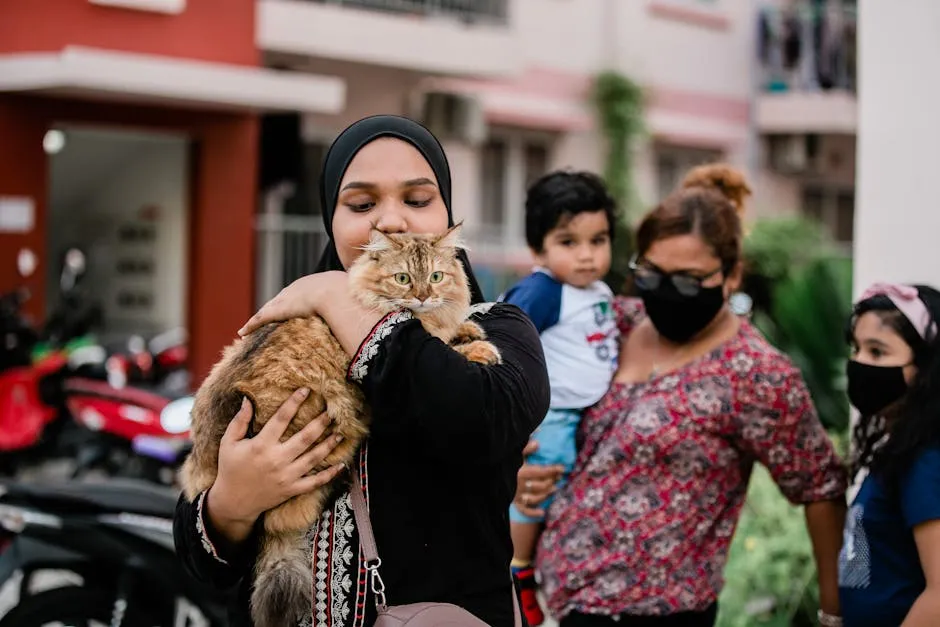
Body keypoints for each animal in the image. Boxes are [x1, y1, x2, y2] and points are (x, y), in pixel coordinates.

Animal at [178, 224, 500, 627]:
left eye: (436, 277)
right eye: (403, 279)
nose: (423, 297)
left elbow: (450, 331)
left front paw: (469, 328)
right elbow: (447, 344)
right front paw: (479, 347)